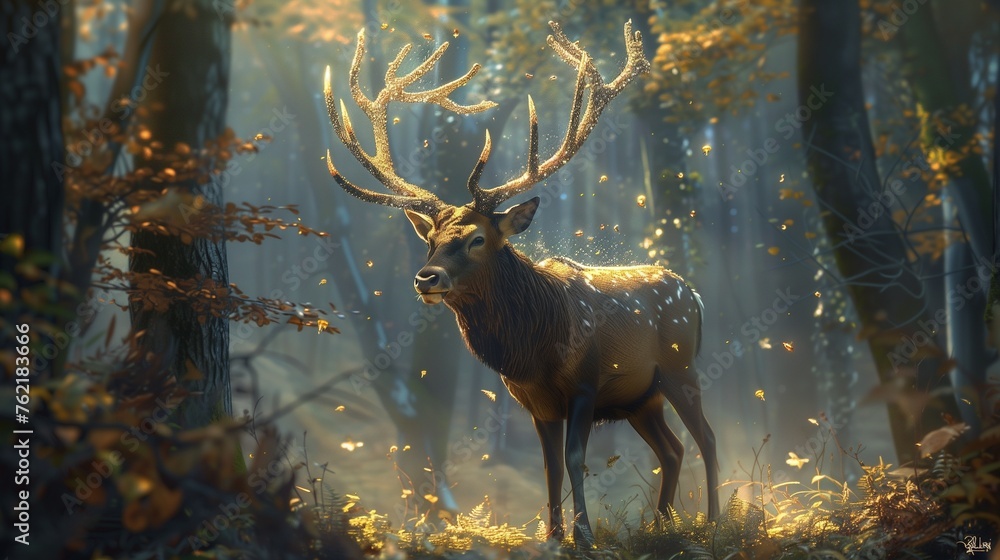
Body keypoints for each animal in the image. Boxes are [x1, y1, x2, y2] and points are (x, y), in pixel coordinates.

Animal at [322, 21, 719, 546]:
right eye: (430, 240)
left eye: (476, 238)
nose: (426, 277)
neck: (534, 350)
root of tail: (693, 294)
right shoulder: (533, 400)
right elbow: (549, 465)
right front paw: (552, 536)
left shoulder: (586, 384)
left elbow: (574, 458)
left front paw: (584, 536)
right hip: (641, 397)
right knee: (672, 449)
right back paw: (661, 525)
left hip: (679, 368)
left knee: (705, 437)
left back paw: (715, 521)